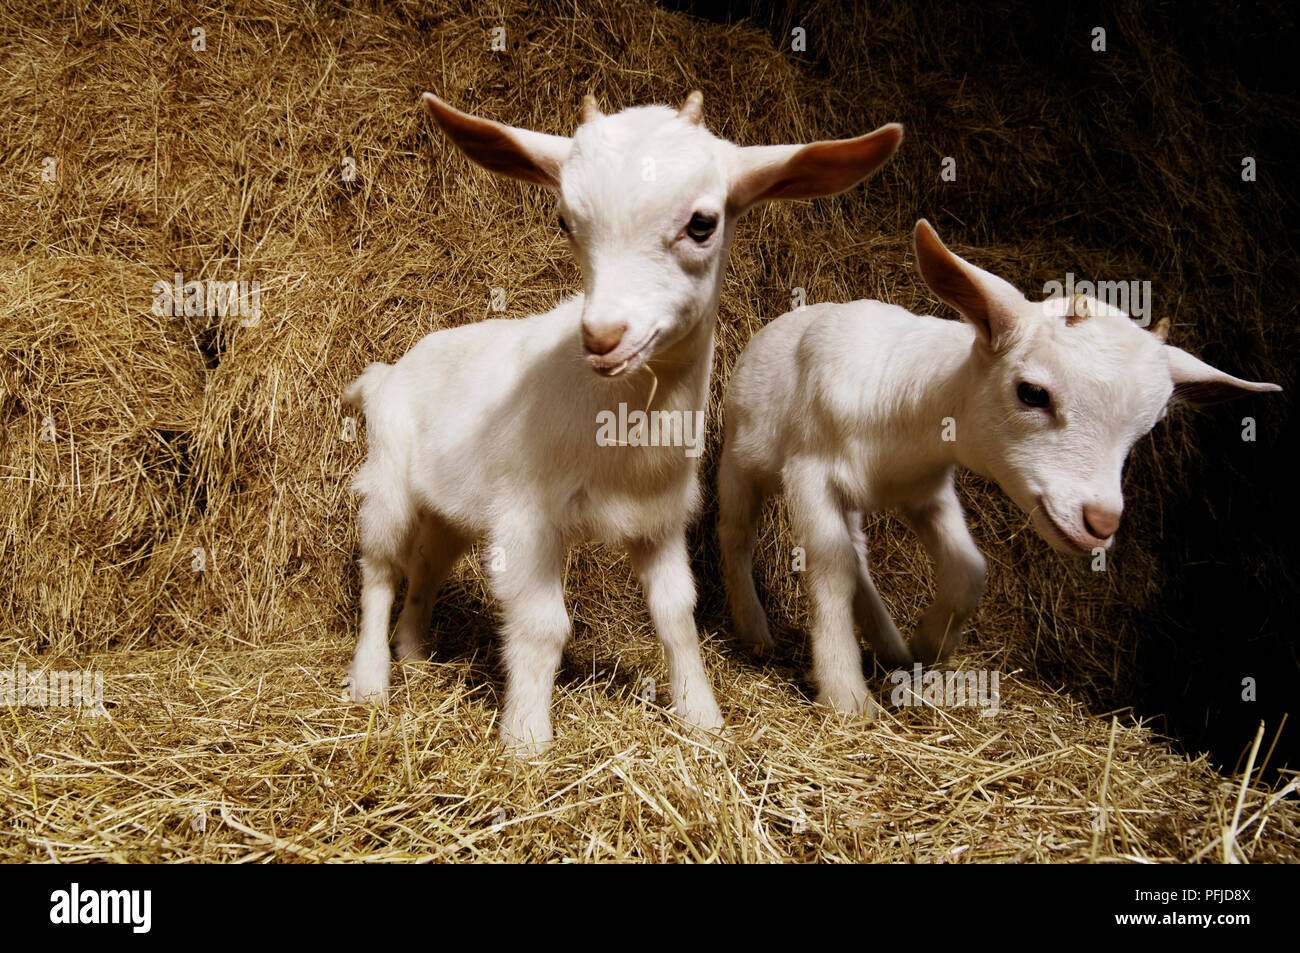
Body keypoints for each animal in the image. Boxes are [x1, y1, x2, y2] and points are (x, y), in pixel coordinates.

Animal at [344, 91, 902, 754]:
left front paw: (701, 714)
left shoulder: (659, 519)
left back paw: (413, 653)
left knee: (427, 564)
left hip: (449, 504)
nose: (603, 336)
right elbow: (541, 625)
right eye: (565, 221)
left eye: (702, 223)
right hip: (387, 481)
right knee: (380, 569)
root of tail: (386, 371)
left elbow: (677, 615)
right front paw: (526, 737)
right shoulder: (527, 517)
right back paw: (370, 680)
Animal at [718, 218, 1280, 714]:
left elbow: (969, 570)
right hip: (739, 462)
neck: (905, 405)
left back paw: (890, 643)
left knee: (859, 554)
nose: (1100, 523)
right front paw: (846, 697)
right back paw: (753, 628)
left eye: (1151, 426)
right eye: (1032, 392)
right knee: (739, 533)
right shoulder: (810, 473)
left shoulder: (927, 491)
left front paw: (929, 645)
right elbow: (830, 569)